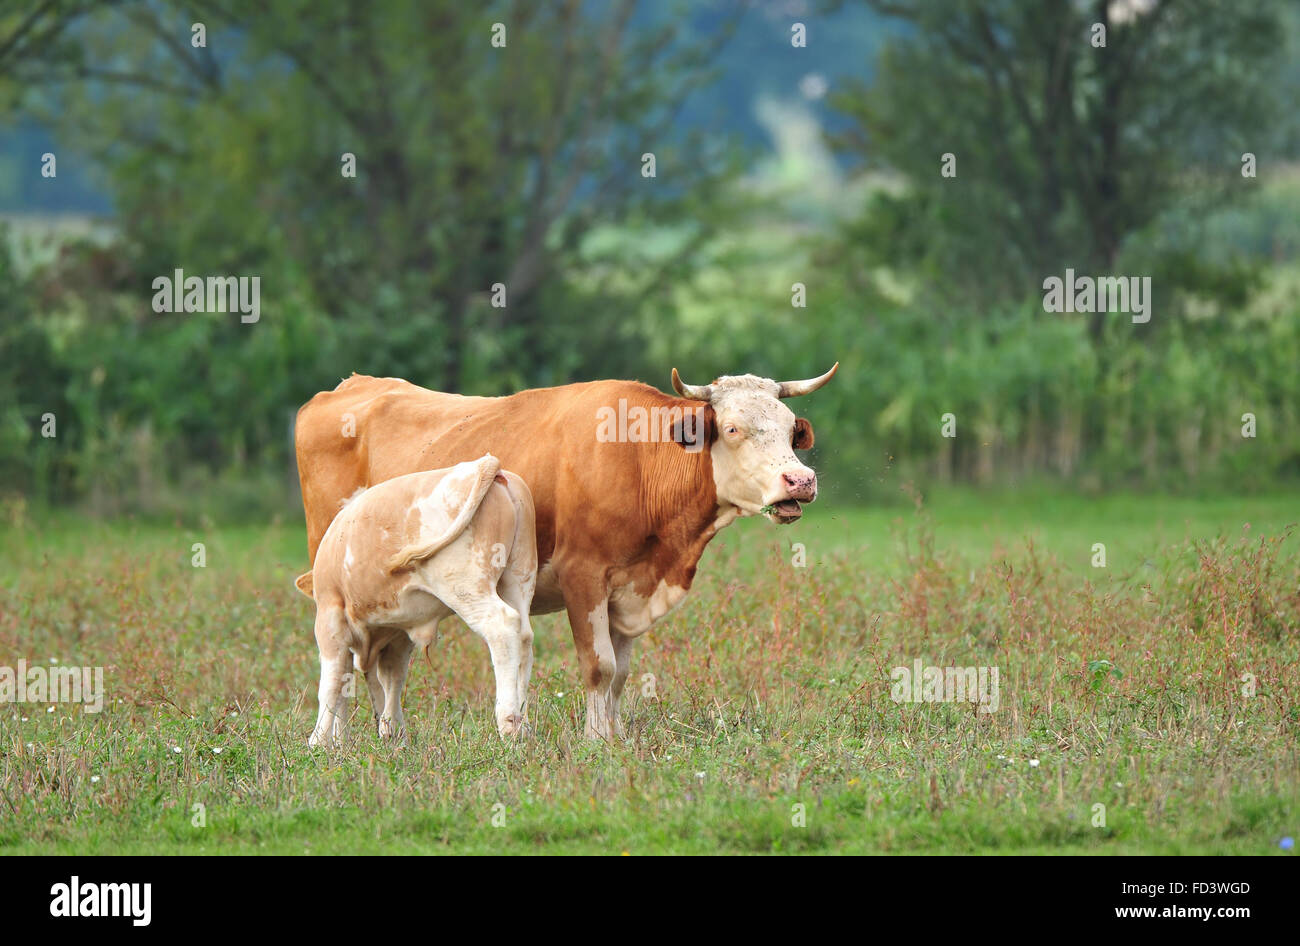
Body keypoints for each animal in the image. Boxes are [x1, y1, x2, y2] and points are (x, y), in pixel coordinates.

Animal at [297, 455, 537, 745]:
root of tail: (485, 463)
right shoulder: (398, 632)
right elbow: (388, 678)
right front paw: (385, 733)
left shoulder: (330, 616)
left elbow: (331, 683)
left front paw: (319, 741)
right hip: (519, 577)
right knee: (524, 636)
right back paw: (524, 725)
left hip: (466, 584)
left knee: (502, 627)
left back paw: (508, 722)